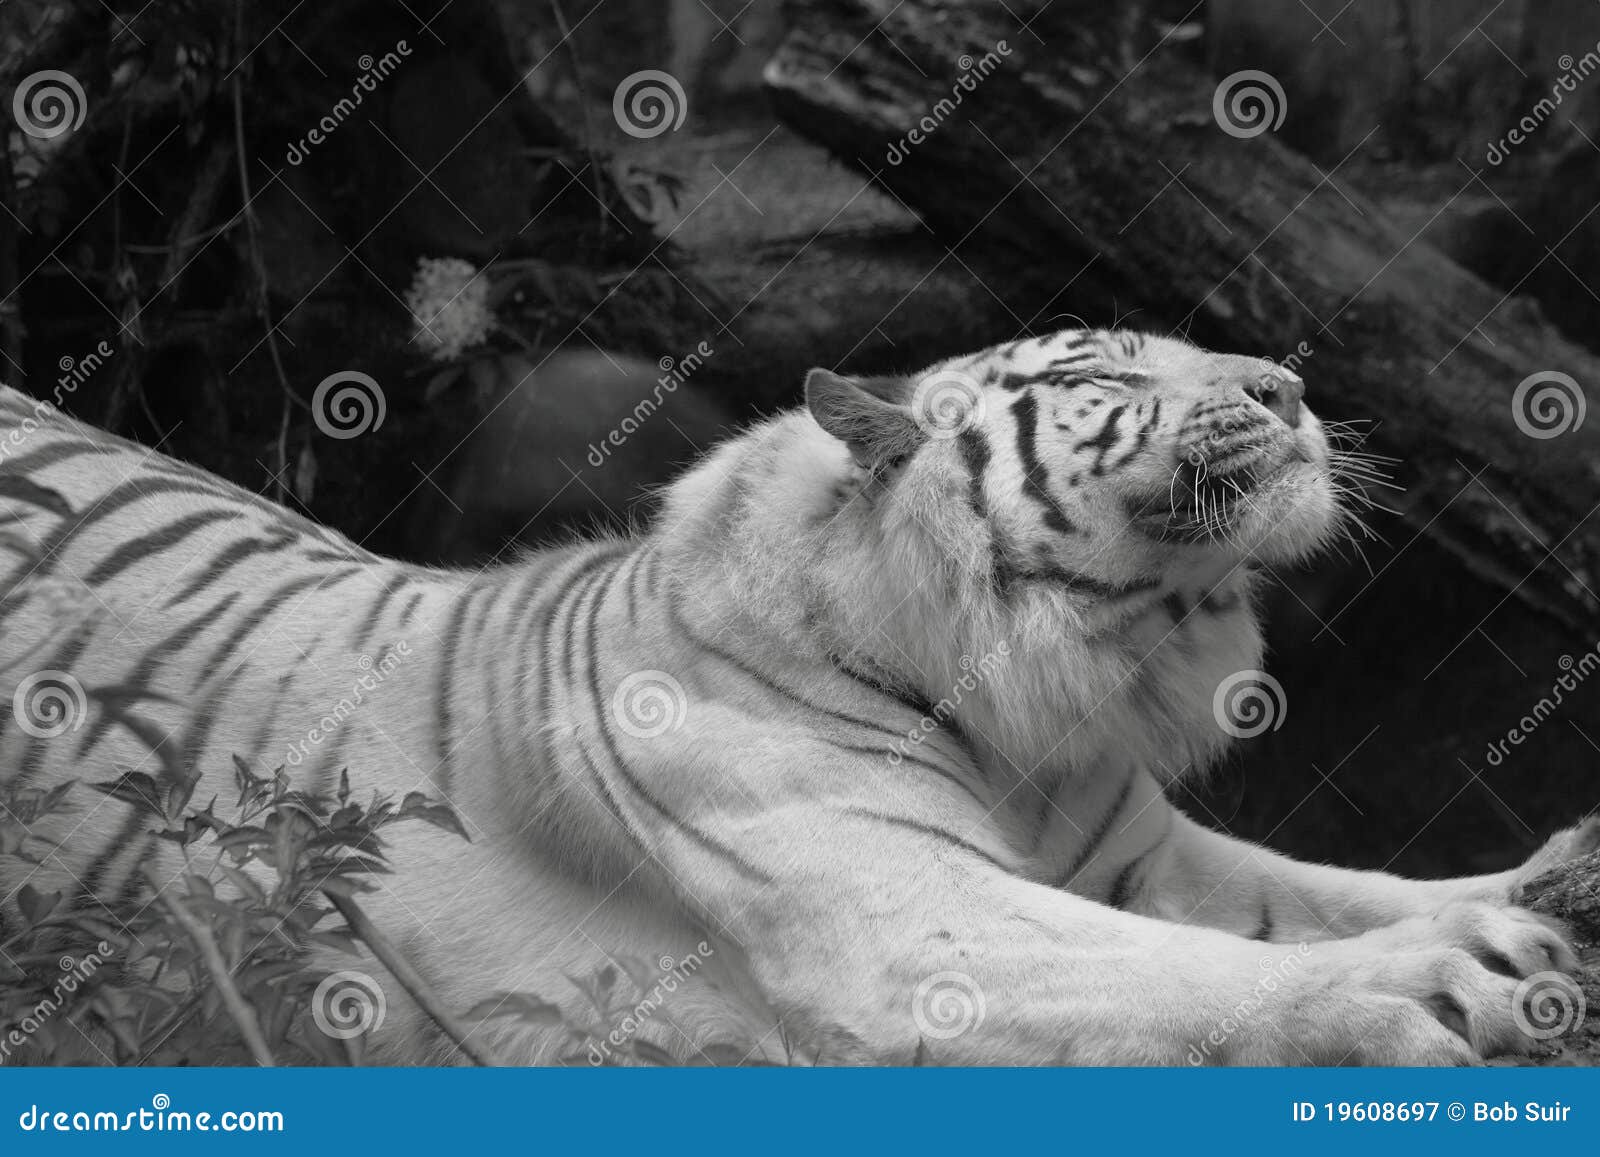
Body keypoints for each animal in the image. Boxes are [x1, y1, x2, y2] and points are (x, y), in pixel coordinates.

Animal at [1, 327, 1595, 1066]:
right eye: (1101, 368)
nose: (1291, 389)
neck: (1043, 717)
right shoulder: (904, 919)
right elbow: (1197, 971)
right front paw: (1446, 978)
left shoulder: (1145, 852)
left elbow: (1333, 888)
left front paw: (1546, 887)